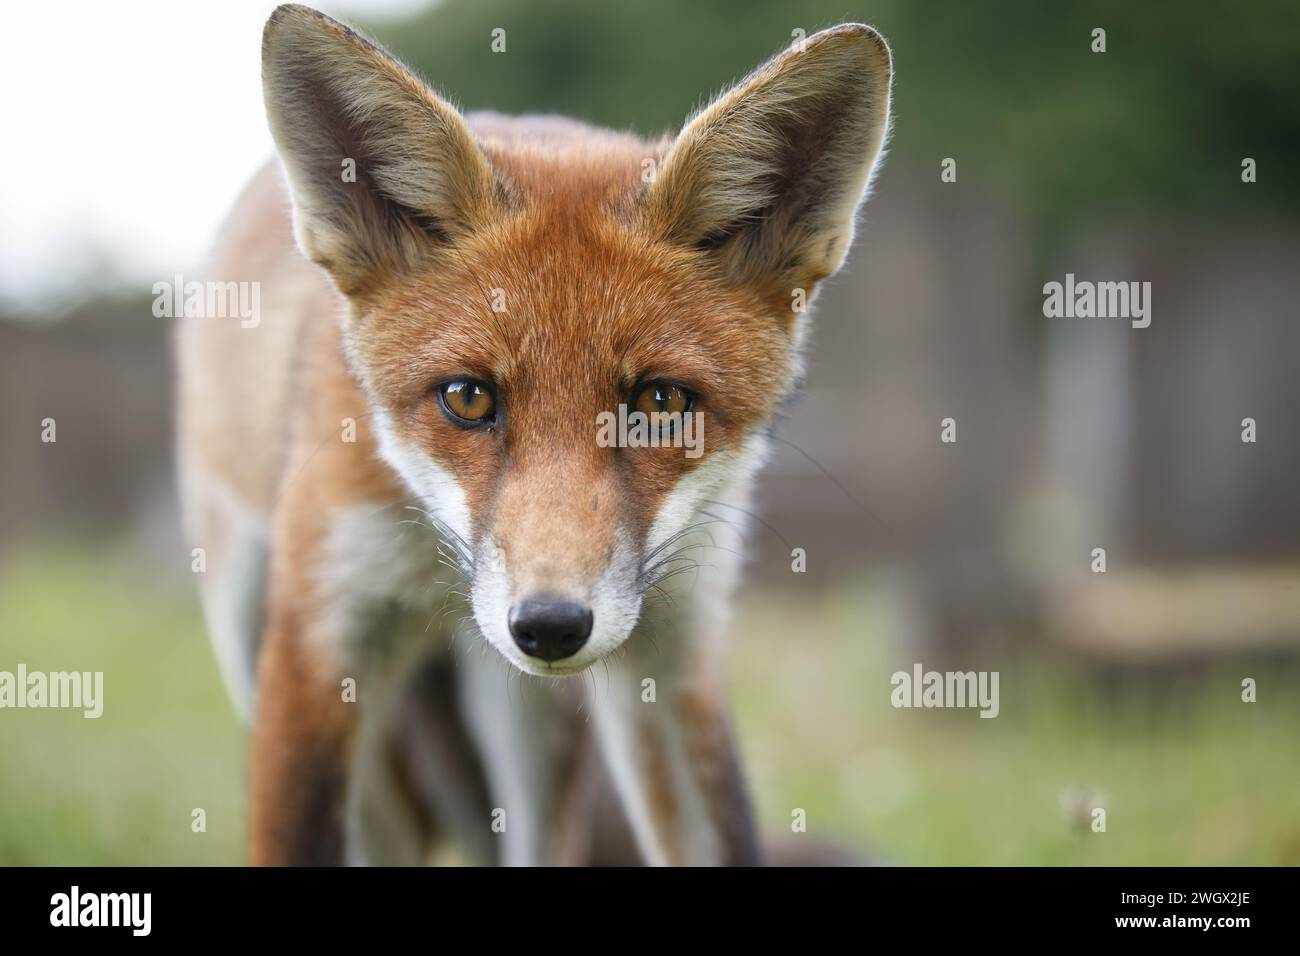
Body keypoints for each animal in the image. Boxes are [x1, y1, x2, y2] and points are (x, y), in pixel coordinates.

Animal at [177, 4, 891, 866]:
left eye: (659, 400)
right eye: (467, 397)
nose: (550, 624)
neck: (432, 548)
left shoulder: (674, 647)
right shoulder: (321, 640)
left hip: (528, 722)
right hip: (255, 625)